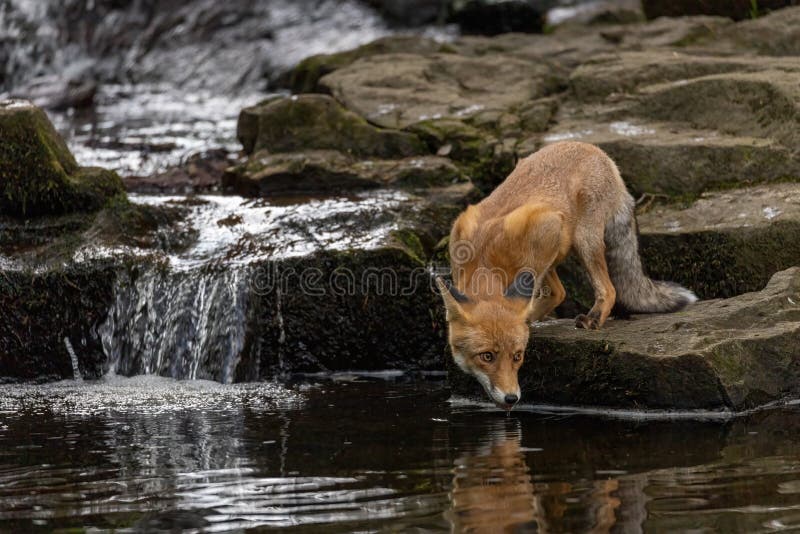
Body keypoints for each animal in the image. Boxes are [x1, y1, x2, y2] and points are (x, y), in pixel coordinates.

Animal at [436, 141, 697, 409]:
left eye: (517, 356)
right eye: (486, 356)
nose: (512, 398)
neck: (485, 261)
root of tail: (598, 151)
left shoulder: (549, 228)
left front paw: (529, 322)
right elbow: (551, 296)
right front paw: (529, 321)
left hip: (584, 240)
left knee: (608, 289)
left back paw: (593, 318)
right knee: (561, 292)